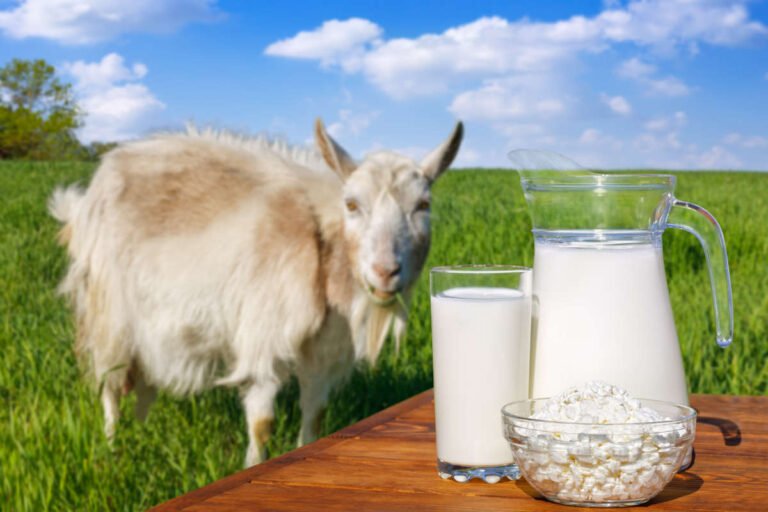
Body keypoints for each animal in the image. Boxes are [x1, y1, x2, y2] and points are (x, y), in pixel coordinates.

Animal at [50, 119, 463, 466]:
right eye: (352, 204)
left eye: (423, 205)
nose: (385, 272)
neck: (321, 239)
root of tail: (85, 199)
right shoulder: (264, 336)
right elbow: (262, 423)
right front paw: (252, 467)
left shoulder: (324, 347)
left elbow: (315, 413)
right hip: (107, 309)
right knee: (109, 381)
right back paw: (111, 446)